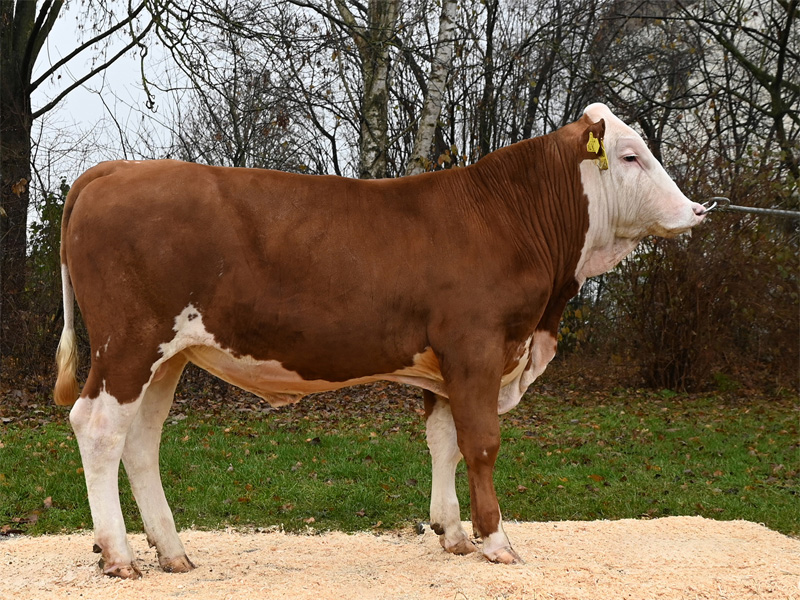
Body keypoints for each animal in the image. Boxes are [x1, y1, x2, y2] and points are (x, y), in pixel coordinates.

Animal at [54, 103, 708, 578]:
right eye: (631, 154)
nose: (699, 209)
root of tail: (115, 169)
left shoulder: (445, 362)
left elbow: (444, 442)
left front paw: (452, 533)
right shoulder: (476, 344)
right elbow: (482, 443)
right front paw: (496, 540)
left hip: (169, 355)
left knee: (141, 441)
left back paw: (173, 553)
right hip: (129, 342)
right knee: (98, 427)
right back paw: (119, 556)